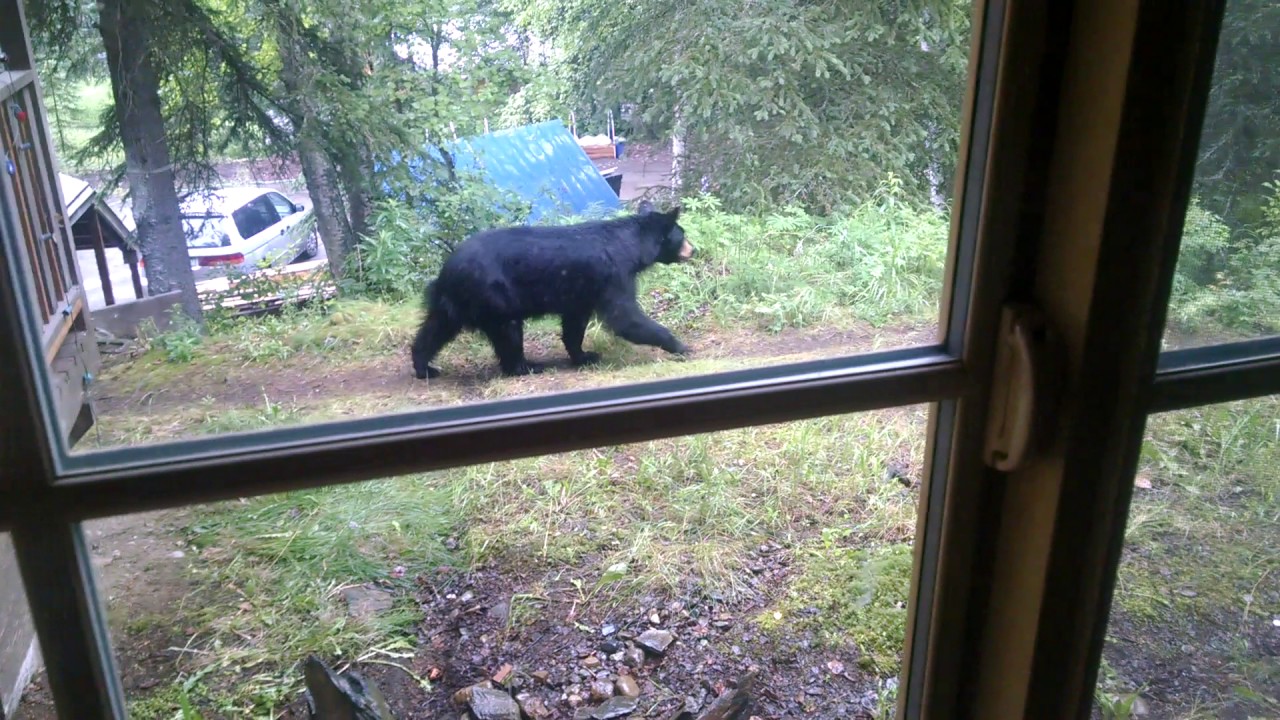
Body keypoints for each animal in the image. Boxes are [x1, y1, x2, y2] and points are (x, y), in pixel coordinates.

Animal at [411, 202, 696, 379]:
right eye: (682, 235)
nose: (693, 250)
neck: (632, 247)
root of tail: (448, 269)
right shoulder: (614, 275)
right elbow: (625, 317)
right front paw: (682, 346)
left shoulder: (581, 289)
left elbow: (574, 323)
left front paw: (584, 355)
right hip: (493, 295)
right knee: (508, 330)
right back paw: (526, 366)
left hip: (452, 301)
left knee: (436, 328)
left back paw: (424, 367)